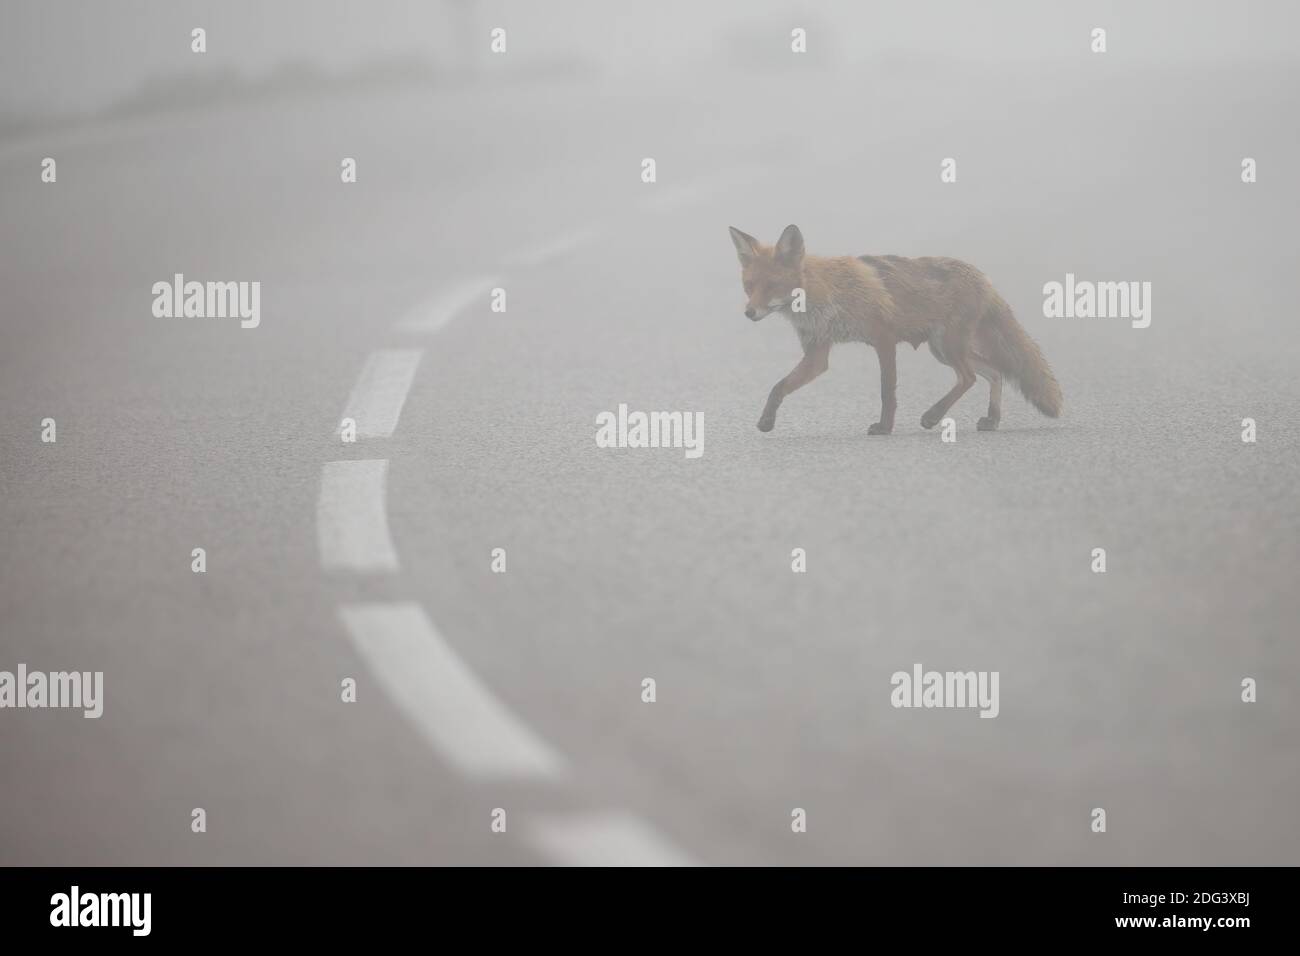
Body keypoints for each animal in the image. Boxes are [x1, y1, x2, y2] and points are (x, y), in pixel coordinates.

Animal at [729, 224, 1062, 434]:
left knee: (969, 378)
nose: (748, 313)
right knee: (994, 373)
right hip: (943, 349)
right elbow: (778, 387)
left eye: (772, 286)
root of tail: (983, 277)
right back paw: (991, 420)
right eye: (749, 286)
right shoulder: (817, 354)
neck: (825, 292)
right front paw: (766, 421)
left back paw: (933, 416)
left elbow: (886, 391)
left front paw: (884, 428)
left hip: (948, 347)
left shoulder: (883, 338)